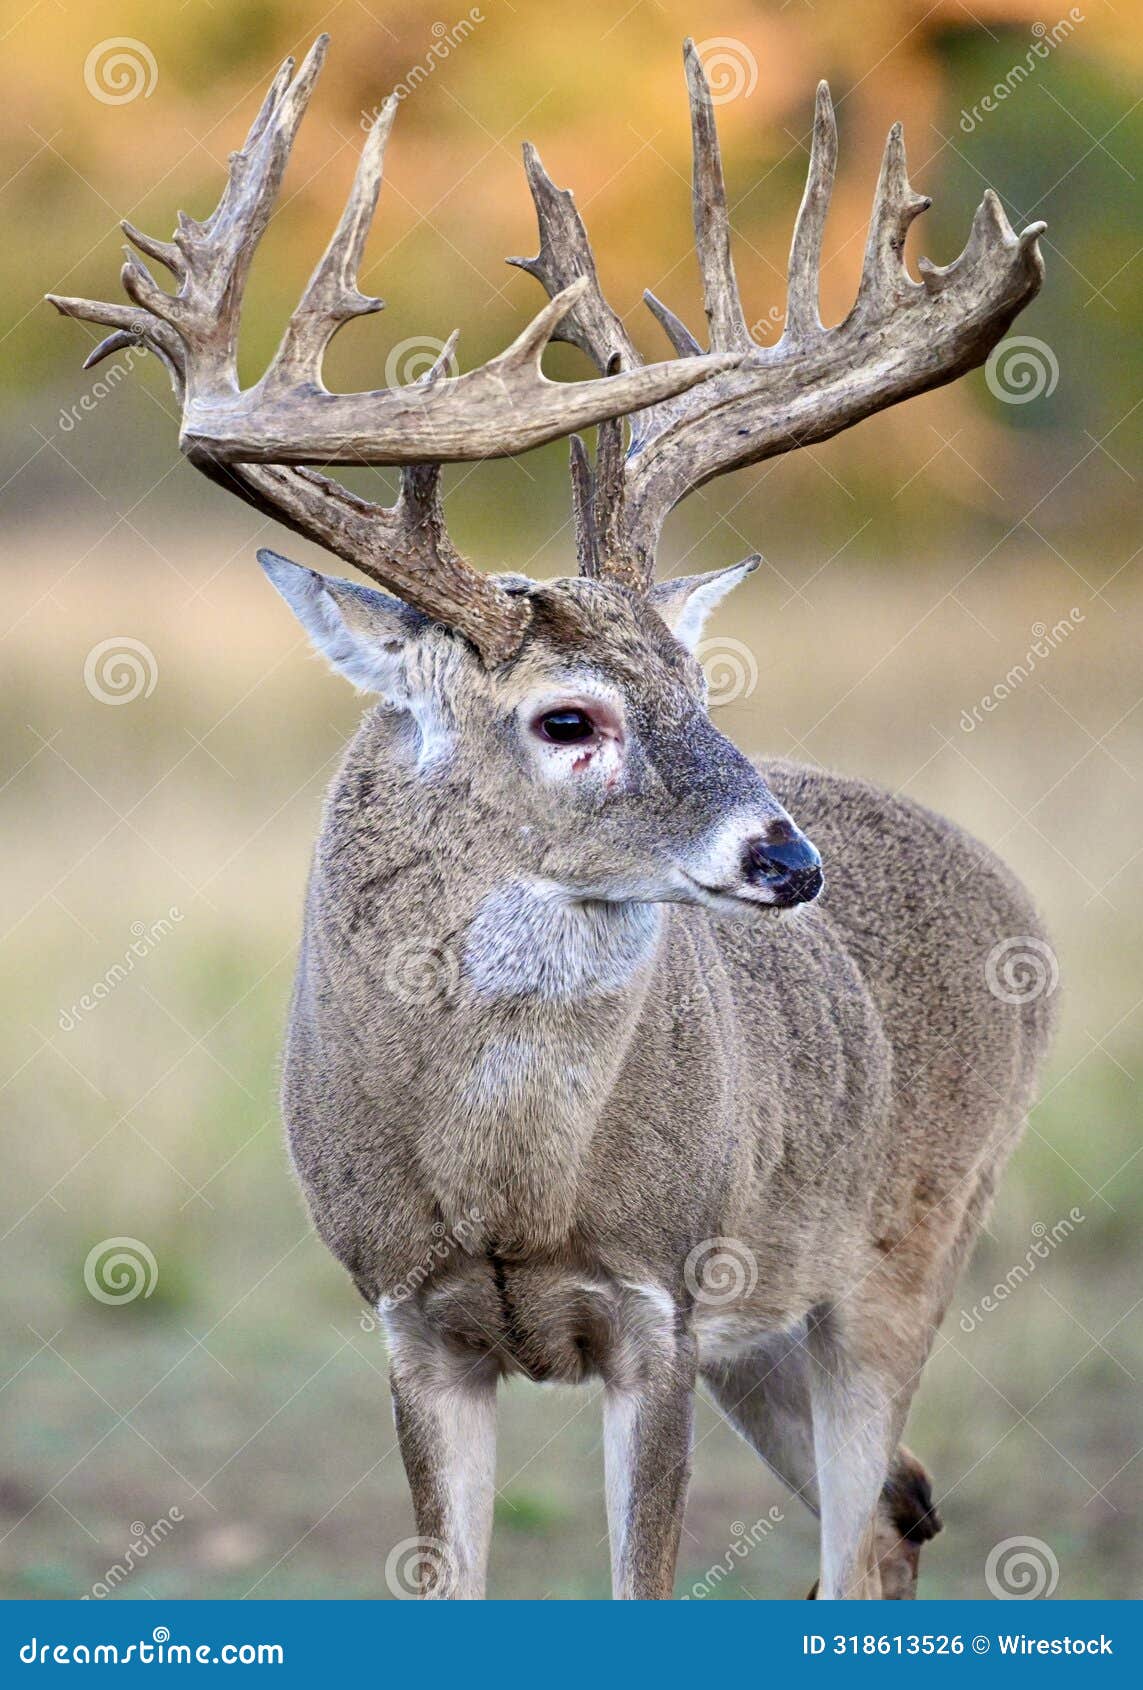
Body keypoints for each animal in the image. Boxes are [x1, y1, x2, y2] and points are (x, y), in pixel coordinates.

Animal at [50, 35, 1055, 1601]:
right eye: (567, 718)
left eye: (699, 681)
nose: (785, 857)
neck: (509, 1189)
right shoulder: (408, 1319)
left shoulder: (663, 1304)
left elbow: (645, 1580)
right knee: (893, 1513)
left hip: (903, 1248)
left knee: (866, 1519)